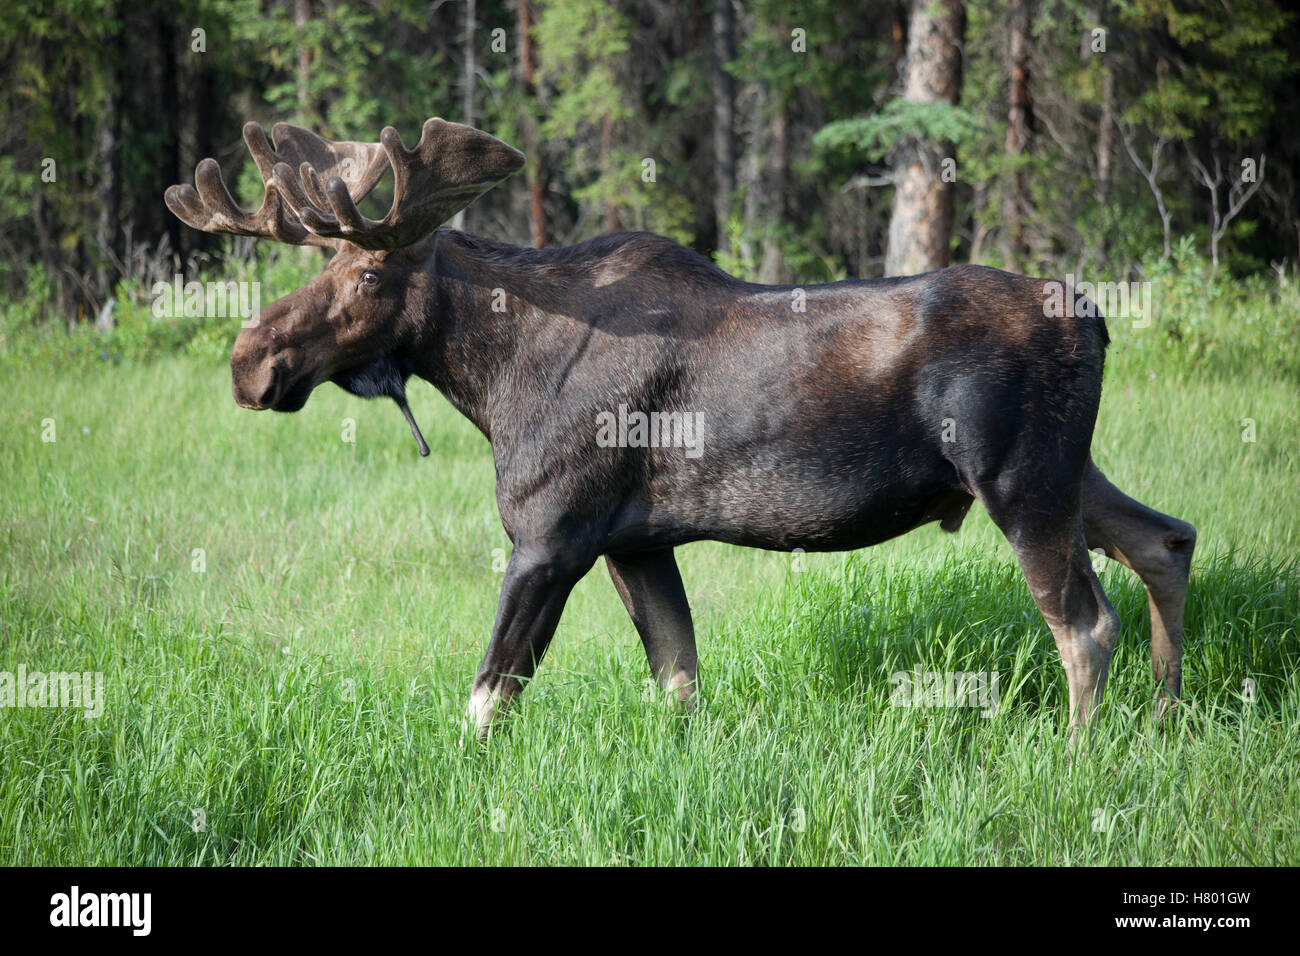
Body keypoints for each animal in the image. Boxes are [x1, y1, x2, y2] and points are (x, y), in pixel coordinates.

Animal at [165, 116, 1197, 742]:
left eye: (371, 275)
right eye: (323, 266)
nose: (250, 362)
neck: (489, 380)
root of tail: (1095, 316)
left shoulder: (551, 536)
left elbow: (487, 697)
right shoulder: (635, 541)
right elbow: (678, 677)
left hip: (1021, 482)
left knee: (1084, 624)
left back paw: (1078, 756)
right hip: (1069, 472)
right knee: (1167, 540)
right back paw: (1164, 720)